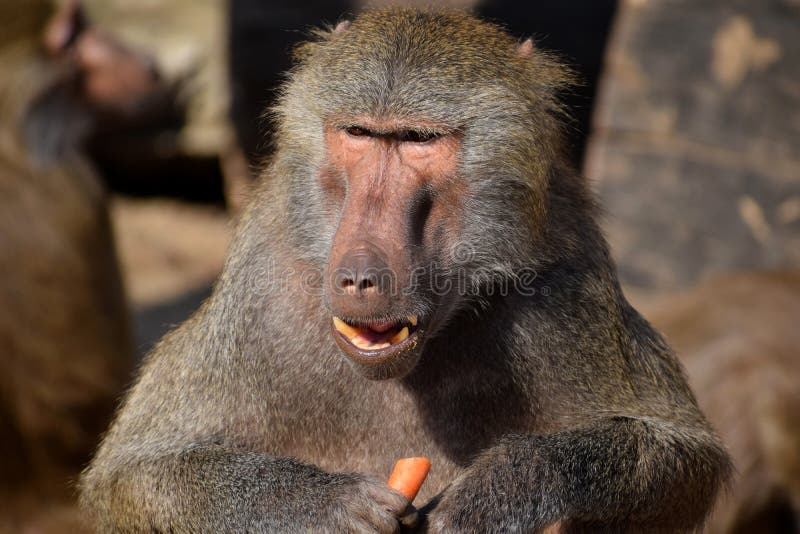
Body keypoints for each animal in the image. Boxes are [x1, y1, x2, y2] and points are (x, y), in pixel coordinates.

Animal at [80, 9, 731, 533]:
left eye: (418, 139)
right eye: (359, 133)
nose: (359, 278)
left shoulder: (571, 288)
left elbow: (684, 458)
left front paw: (498, 492)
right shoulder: (256, 294)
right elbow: (133, 476)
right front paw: (331, 507)